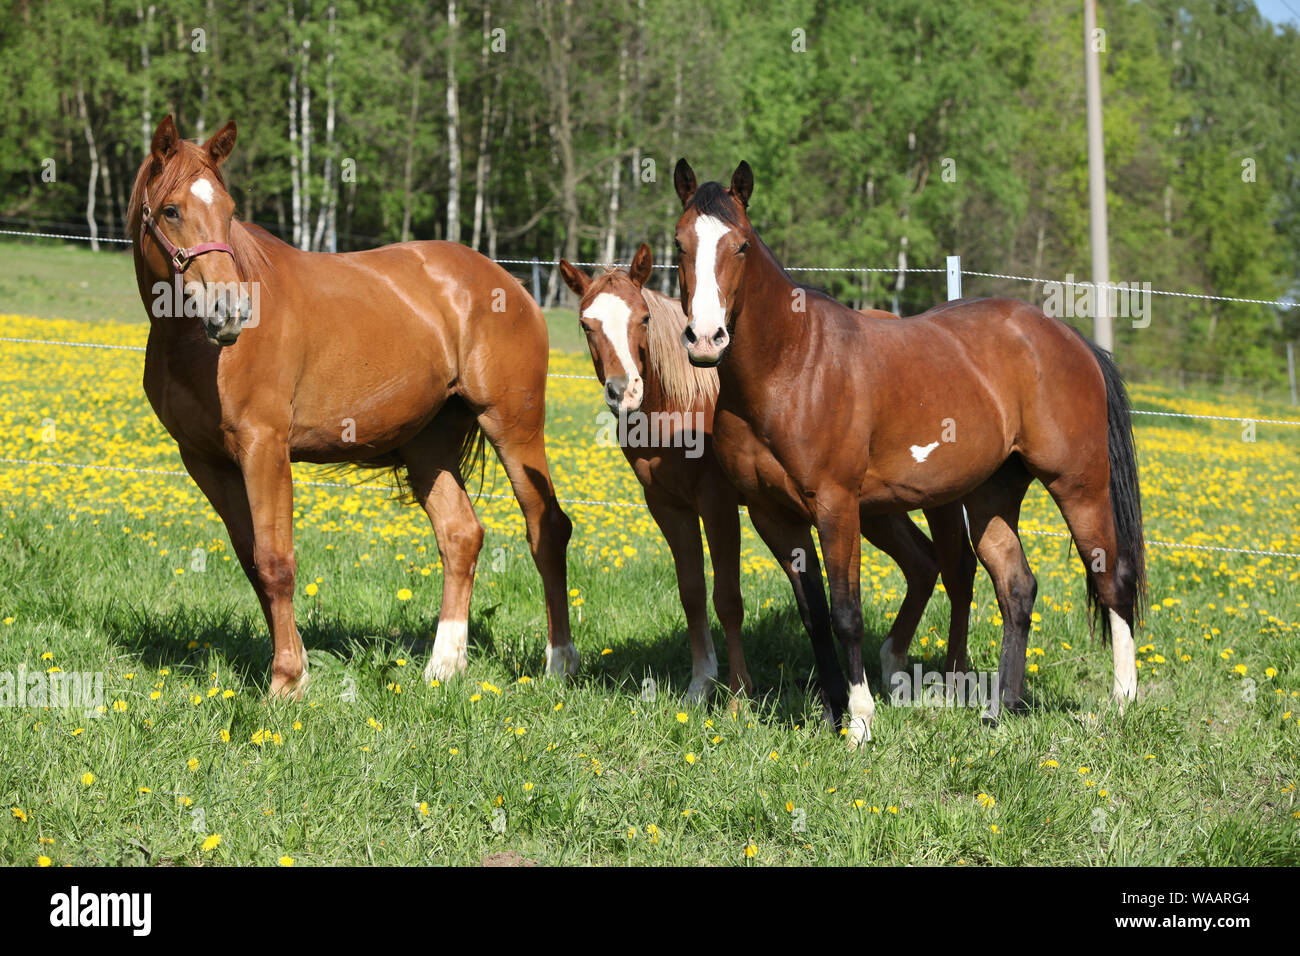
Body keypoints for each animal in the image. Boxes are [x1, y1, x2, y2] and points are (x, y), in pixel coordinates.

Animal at [126, 115, 576, 696]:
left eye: (228, 210)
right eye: (171, 210)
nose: (231, 311)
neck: (197, 349)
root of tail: (509, 285)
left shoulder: (264, 448)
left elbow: (276, 560)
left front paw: (286, 682)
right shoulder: (206, 461)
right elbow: (252, 562)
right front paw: (294, 668)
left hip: (514, 428)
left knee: (548, 528)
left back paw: (559, 662)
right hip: (428, 446)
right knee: (460, 535)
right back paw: (443, 666)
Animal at [559, 244, 977, 705]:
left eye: (644, 318)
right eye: (586, 324)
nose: (624, 391)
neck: (681, 406)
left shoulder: (719, 504)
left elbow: (727, 598)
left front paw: (739, 694)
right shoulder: (667, 507)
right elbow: (692, 593)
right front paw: (700, 686)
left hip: (934, 499)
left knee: (957, 569)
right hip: (876, 509)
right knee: (922, 563)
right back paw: (893, 666)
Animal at [671, 159, 1146, 746]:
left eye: (738, 246)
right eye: (680, 244)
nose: (705, 339)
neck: (791, 366)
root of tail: (1070, 338)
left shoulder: (836, 507)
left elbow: (846, 612)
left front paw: (859, 722)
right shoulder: (773, 516)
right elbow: (814, 613)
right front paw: (832, 711)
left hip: (1079, 485)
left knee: (1111, 579)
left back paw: (1121, 703)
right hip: (990, 496)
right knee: (1016, 586)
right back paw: (1000, 710)